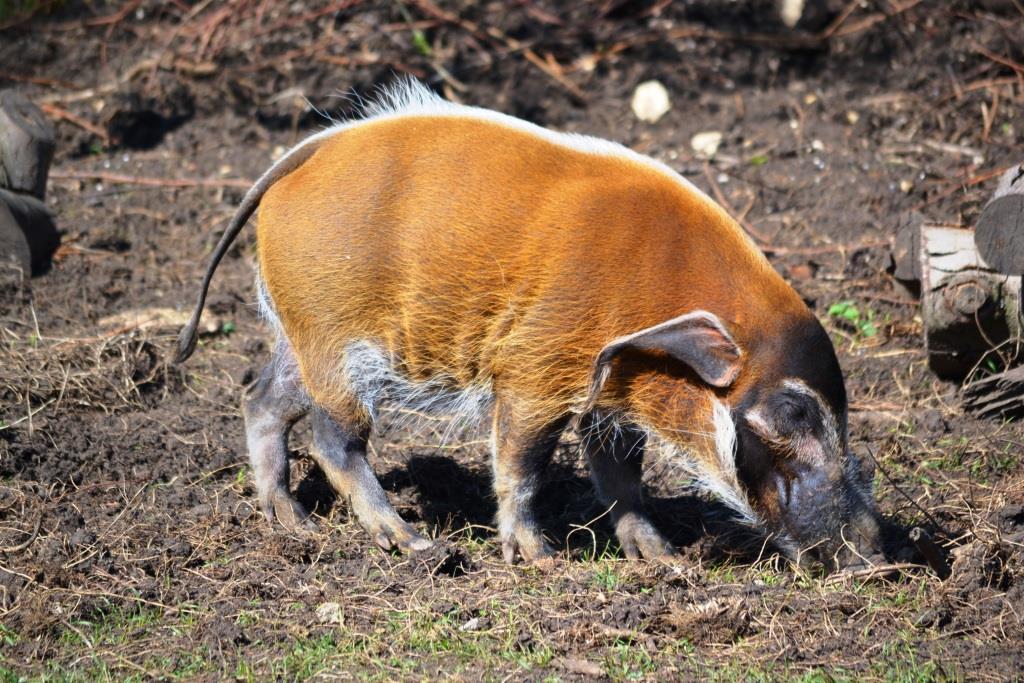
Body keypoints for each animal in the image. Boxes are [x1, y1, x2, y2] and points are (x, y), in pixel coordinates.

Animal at [176, 79, 883, 570]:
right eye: (794, 412)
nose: (877, 552)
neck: (661, 284)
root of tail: (302, 156)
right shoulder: (534, 368)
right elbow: (523, 459)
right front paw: (539, 558)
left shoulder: (613, 391)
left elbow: (620, 473)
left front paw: (662, 558)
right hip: (335, 337)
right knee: (333, 436)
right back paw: (411, 543)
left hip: (306, 330)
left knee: (261, 398)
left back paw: (290, 519)